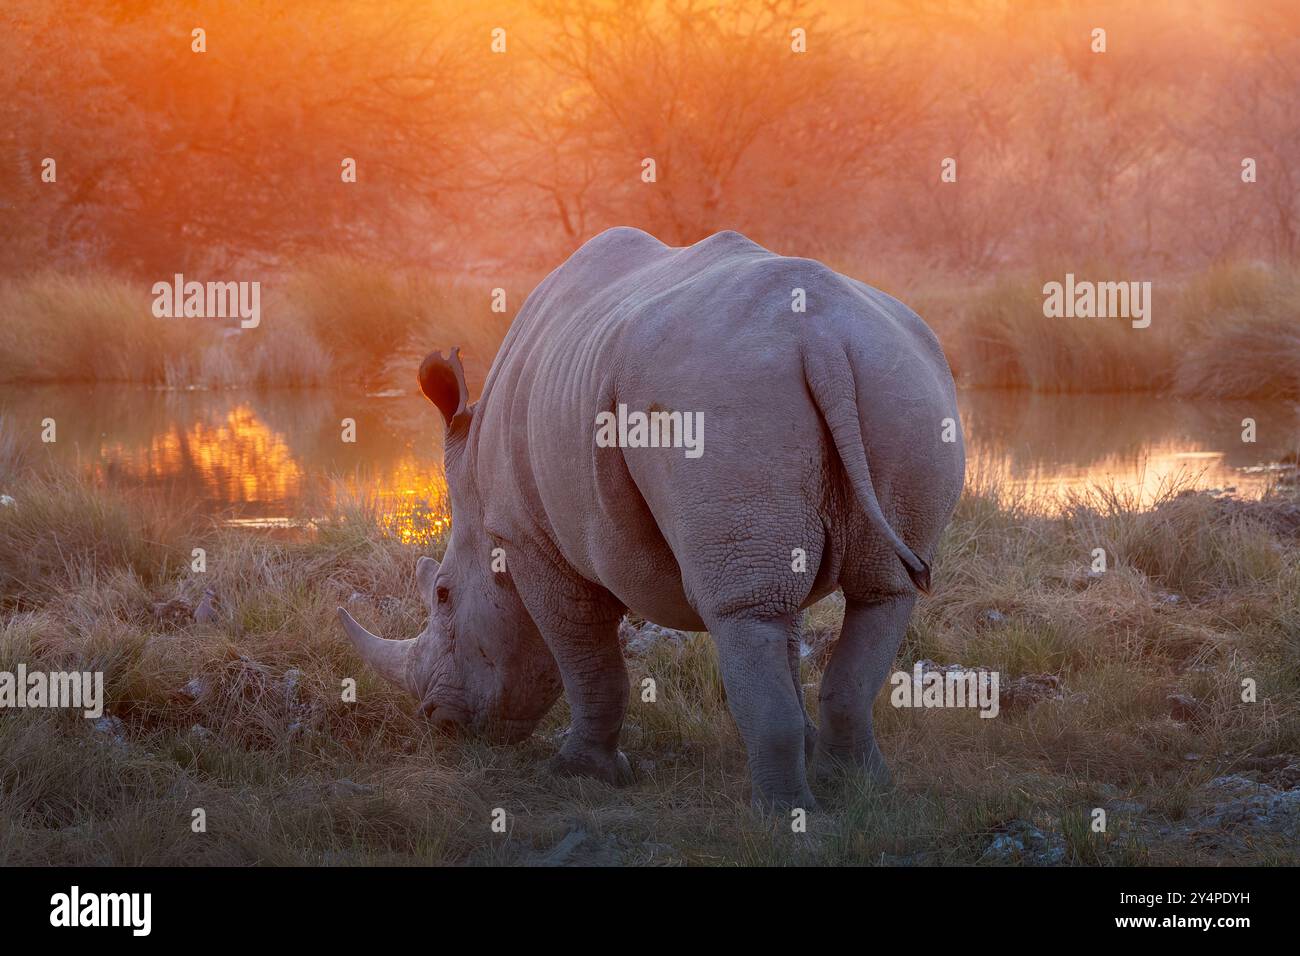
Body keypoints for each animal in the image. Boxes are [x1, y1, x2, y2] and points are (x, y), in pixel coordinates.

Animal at [338, 227, 964, 809]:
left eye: (442, 594)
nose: (439, 722)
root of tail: (823, 337)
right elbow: (784, 638)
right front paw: (812, 749)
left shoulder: (530, 542)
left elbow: (587, 661)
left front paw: (579, 773)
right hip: (901, 380)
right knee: (874, 593)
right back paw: (861, 790)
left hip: (720, 393)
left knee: (744, 609)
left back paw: (783, 820)